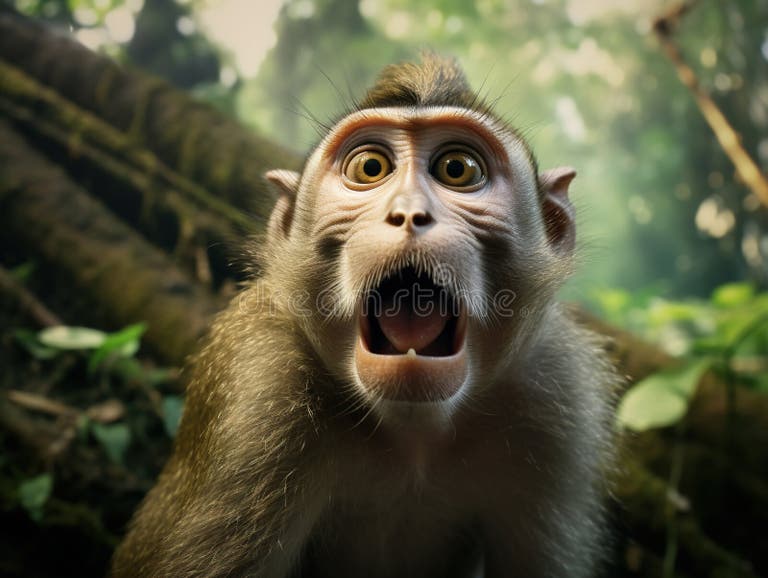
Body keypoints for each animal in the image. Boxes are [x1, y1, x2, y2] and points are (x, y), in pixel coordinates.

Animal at [110, 53, 616, 578]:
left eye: (457, 169)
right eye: (371, 168)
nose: (409, 213)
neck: (413, 429)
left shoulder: (559, 396)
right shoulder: (257, 386)